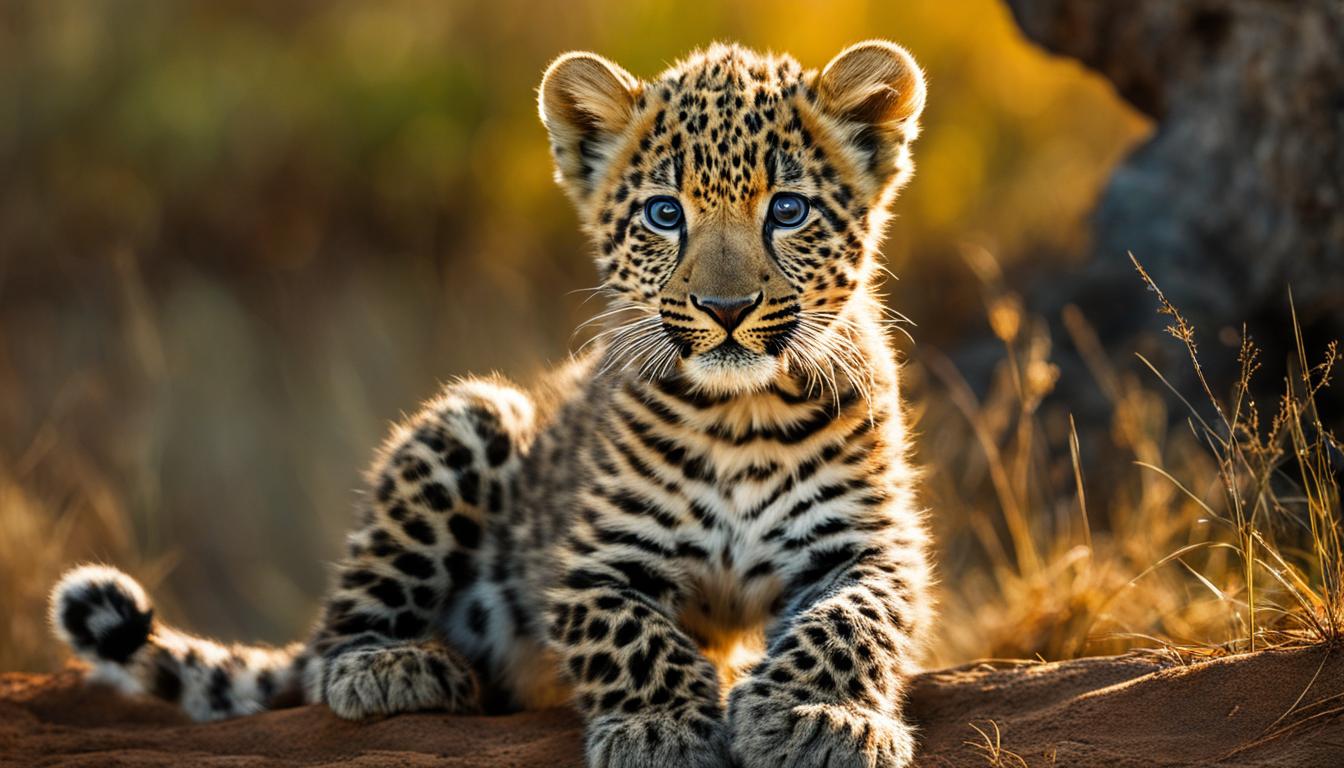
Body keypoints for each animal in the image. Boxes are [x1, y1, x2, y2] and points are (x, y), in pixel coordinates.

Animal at [50, 40, 932, 768]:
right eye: (664, 214)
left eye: (787, 210)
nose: (724, 309)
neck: (741, 416)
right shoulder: (595, 564)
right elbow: (634, 636)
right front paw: (661, 729)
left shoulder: (872, 546)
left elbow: (851, 619)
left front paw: (816, 717)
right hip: (471, 419)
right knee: (335, 637)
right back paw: (389, 667)